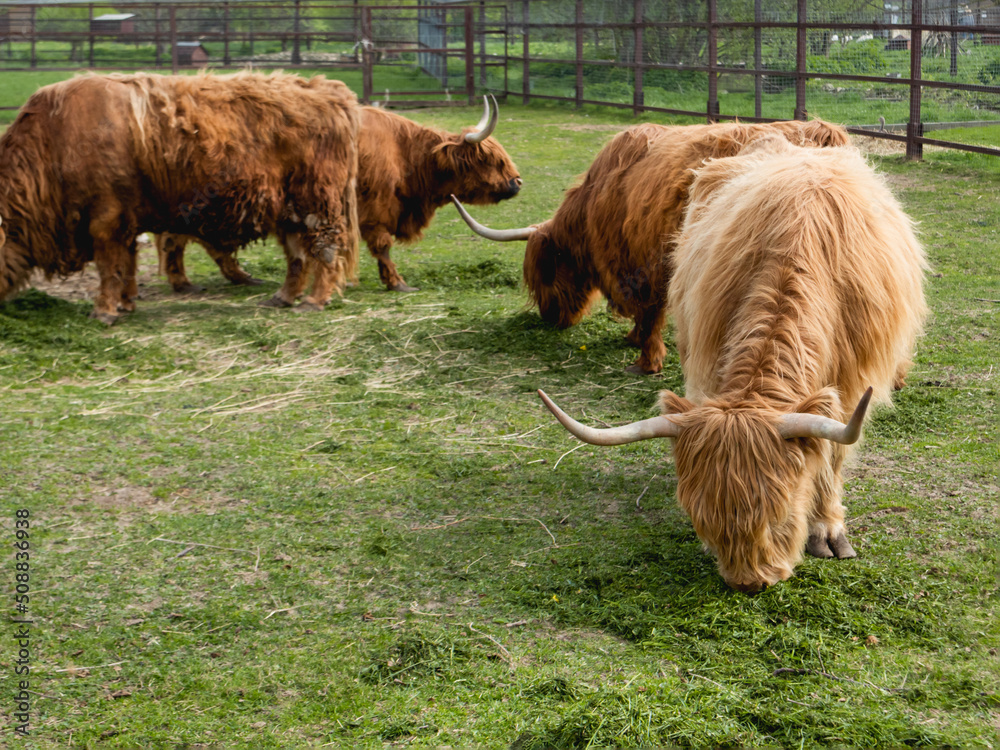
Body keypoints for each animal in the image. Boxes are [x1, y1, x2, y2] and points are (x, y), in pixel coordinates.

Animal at [0, 71, 359, 323]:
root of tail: (329, 92)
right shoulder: (125, 221)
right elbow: (126, 263)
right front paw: (126, 303)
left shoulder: (106, 219)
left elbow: (109, 266)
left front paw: (104, 310)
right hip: (289, 210)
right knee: (297, 255)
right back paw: (283, 296)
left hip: (317, 204)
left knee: (325, 250)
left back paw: (314, 301)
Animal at [154, 95, 522, 295]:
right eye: (490, 159)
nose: (517, 182)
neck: (405, 154)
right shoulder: (374, 212)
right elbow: (382, 247)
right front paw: (396, 282)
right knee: (177, 240)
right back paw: (187, 283)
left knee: (204, 244)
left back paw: (241, 278)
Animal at [452, 119, 849, 374]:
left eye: (547, 271)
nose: (550, 318)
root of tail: (821, 130)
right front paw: (634, 341)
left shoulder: (640, 265)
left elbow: (650, 313)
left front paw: (646, 362)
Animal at [537, 137, 928, 592]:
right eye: (702, 522)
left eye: (780, 515)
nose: (749, 583)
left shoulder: (852, 385)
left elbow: (832, 457)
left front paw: (828, 530)